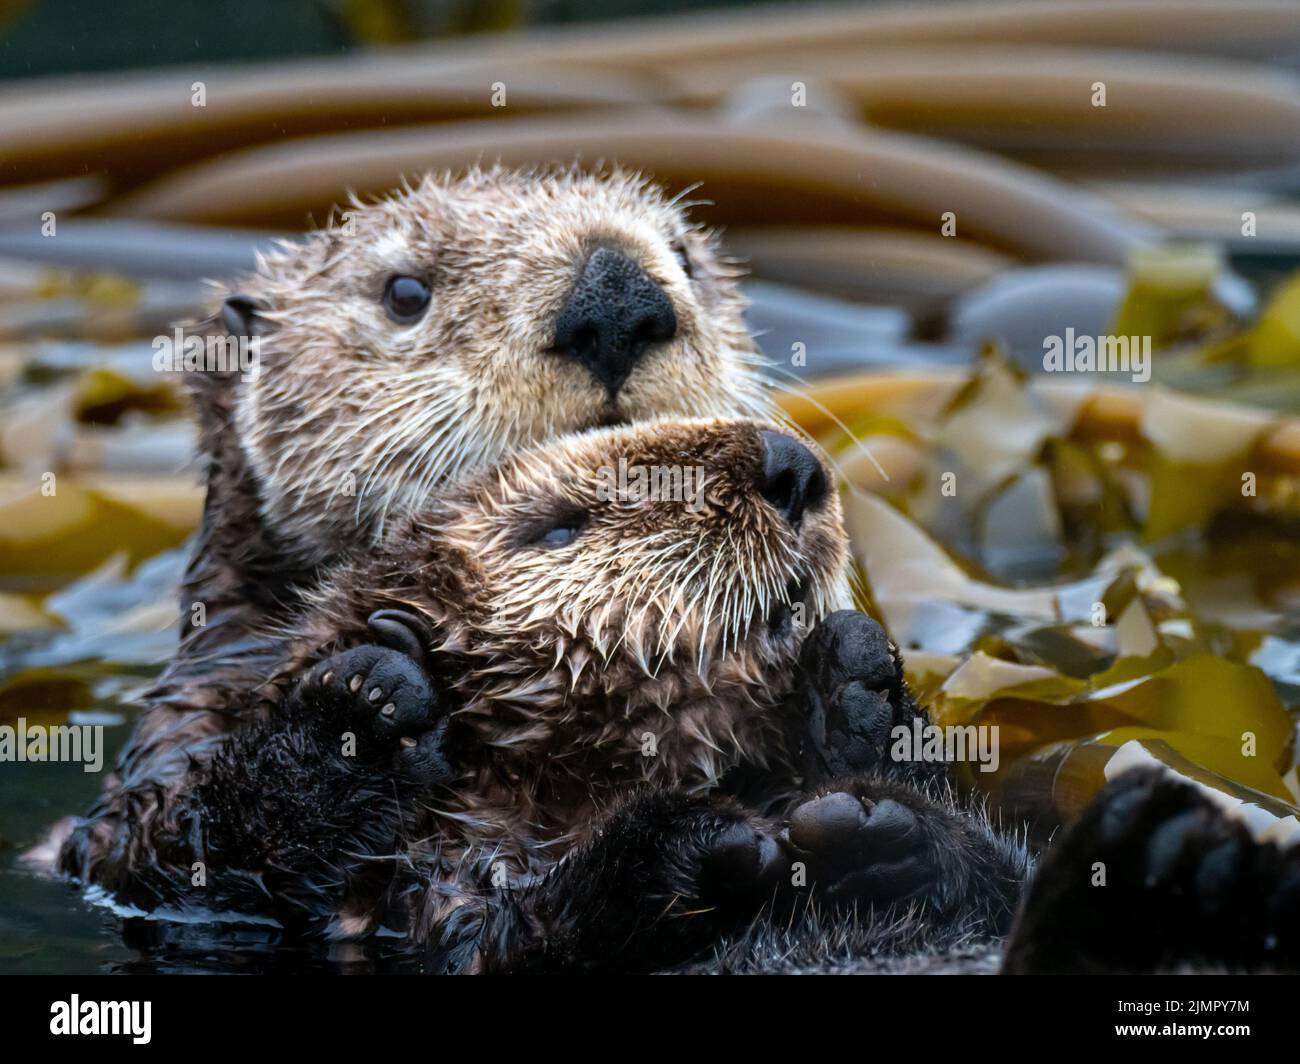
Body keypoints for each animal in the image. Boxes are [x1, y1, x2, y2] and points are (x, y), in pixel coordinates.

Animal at [53, 167, 773, 892]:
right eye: (405, 294)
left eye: (685, 258)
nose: (617, 298)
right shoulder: (179, 739)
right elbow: (178, 844)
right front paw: (370, 701)